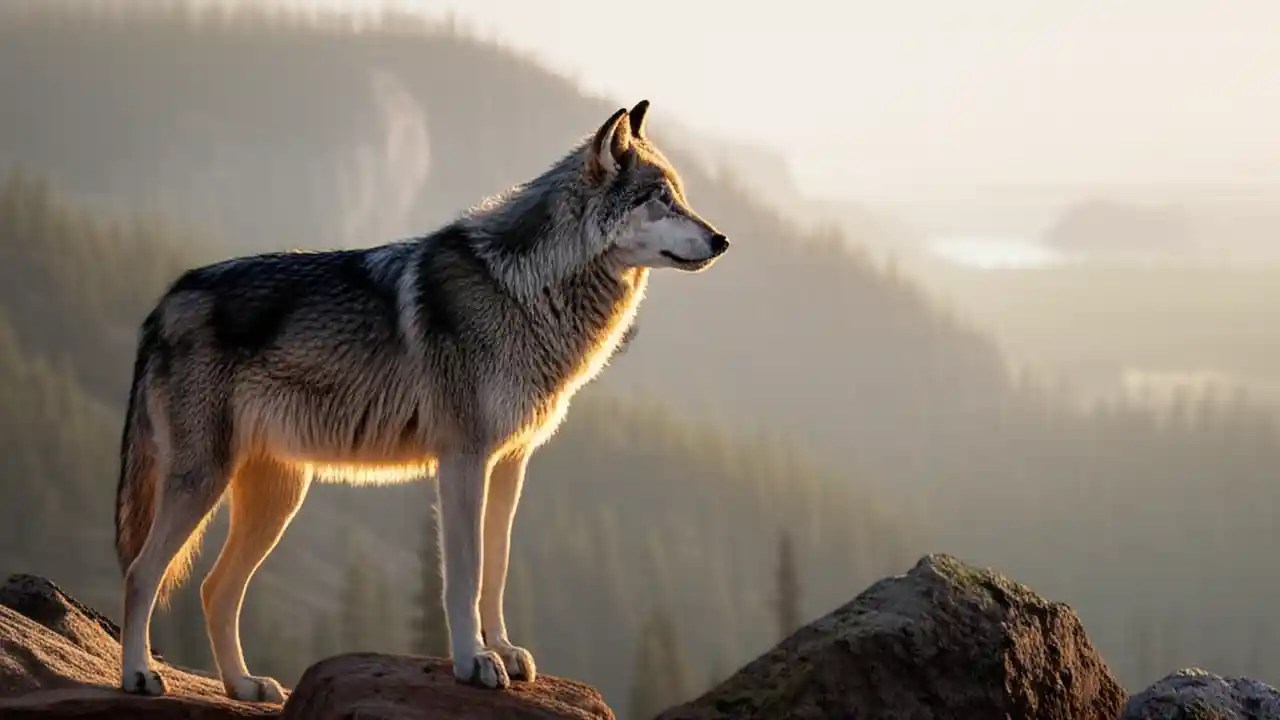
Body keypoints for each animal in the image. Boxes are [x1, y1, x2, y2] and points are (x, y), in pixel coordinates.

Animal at [114, 101, 728, 700]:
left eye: (681, 195)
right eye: (661, 198)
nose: (722, 240)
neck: (526, 290)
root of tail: (165, 300)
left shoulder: (511, 463)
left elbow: (497, 569)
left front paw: (503, 651)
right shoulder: (463, 460)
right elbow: (465, 575)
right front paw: (473, 662)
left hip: (279, 497)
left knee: (214, 589)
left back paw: (243, 684)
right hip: (205, 481)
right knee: (141, 573)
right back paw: (139, 675)